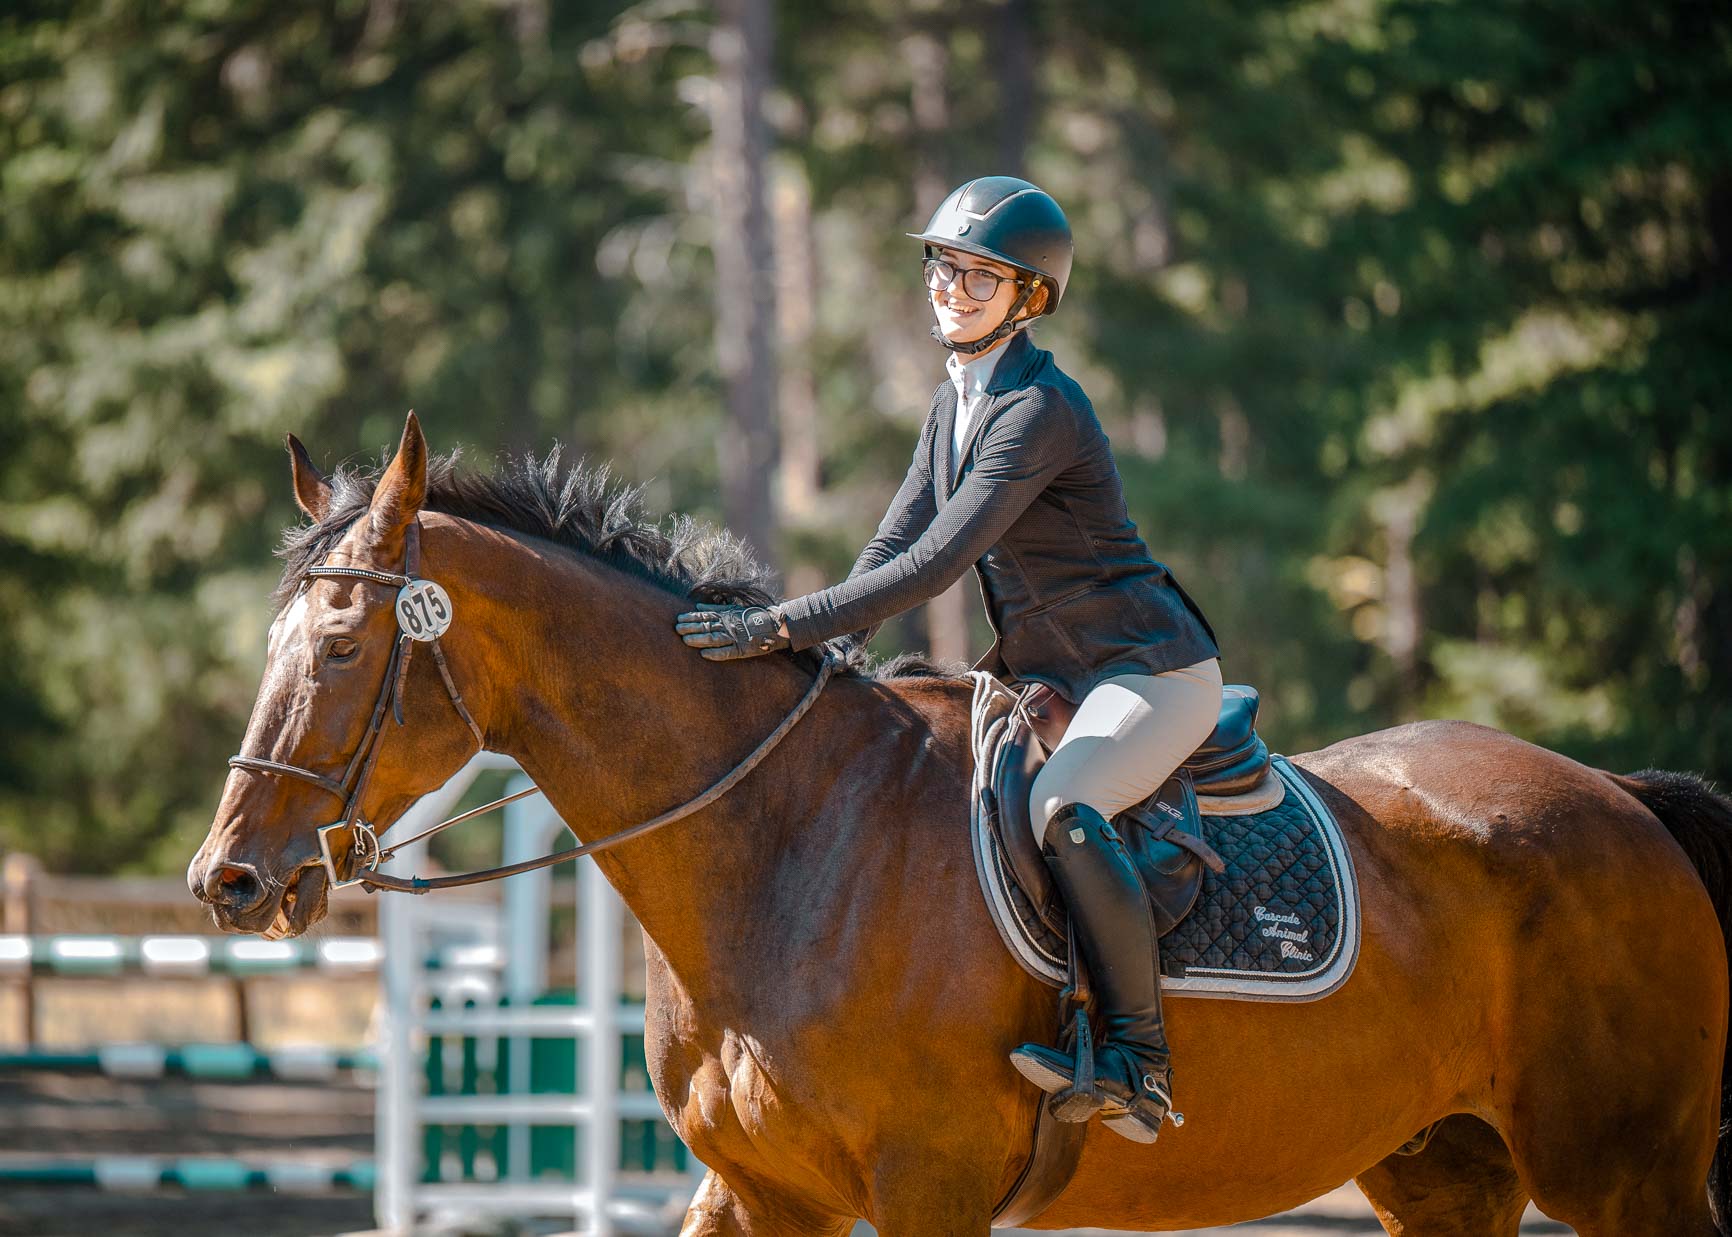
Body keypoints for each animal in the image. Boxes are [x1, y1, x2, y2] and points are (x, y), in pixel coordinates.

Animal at [190, 412, 1732, 1236]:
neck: (781, 846)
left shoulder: (923, 1185)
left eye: (341, 647)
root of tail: (1622, 801)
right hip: (1447, 1168)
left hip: (1623, 1168)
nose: (230, 881)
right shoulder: (759, 1191)